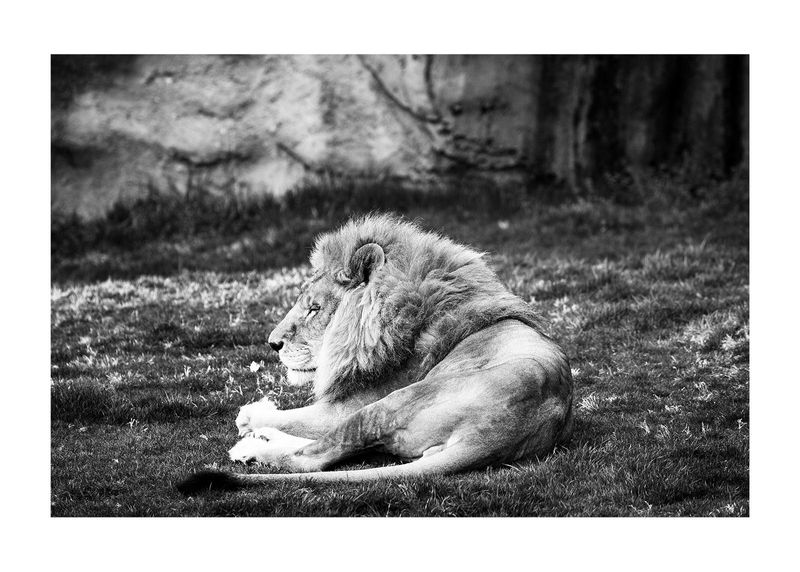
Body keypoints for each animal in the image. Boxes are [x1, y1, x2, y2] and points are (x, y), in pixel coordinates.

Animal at [178, 214, 573, 493]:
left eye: (314, 309)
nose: (272, 344)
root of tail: (495, 435)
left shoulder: (350, 403)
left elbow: (292, 417)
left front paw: (252, 416)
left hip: (390, 403)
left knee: (316, 457)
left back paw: (253, 449)